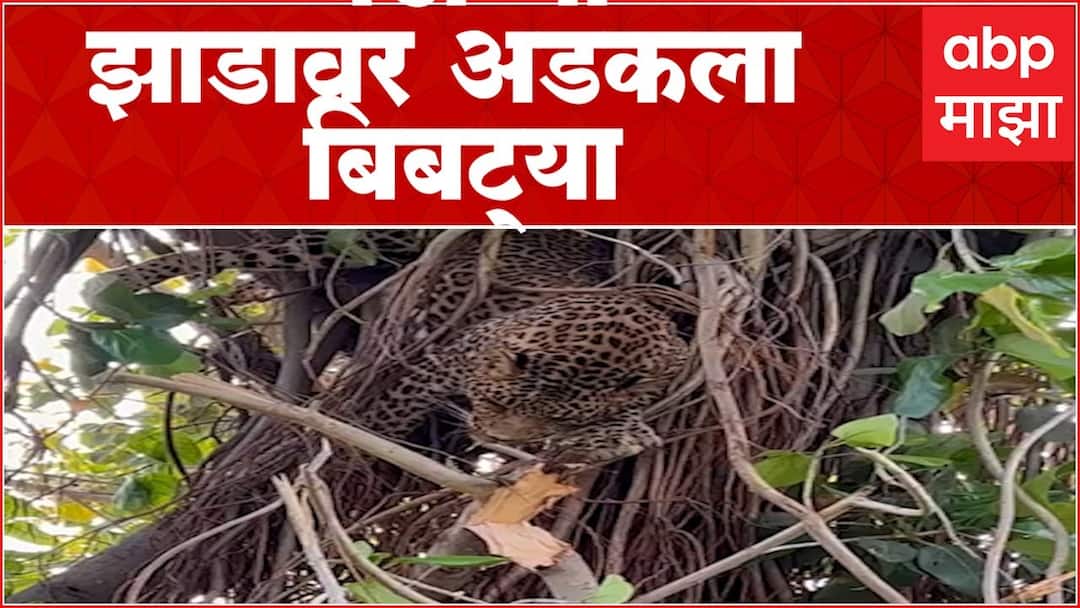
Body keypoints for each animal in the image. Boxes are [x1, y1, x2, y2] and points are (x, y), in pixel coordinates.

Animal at [98, 229, 691, 465]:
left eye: (556, 421)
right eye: (501, 402)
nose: (492, 437)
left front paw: (615, 436)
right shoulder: (439, 359)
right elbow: (387, 414)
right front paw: (361, 444)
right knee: (267, 249)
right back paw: (118, 280)